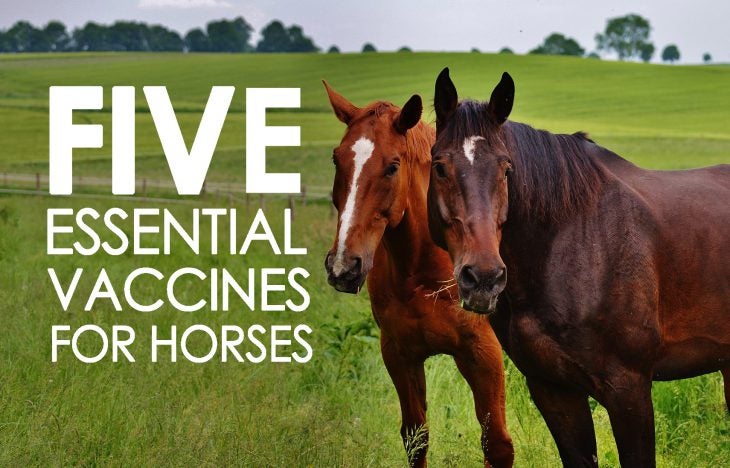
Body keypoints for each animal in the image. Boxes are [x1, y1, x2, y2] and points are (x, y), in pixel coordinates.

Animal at [322, 81, 514, 467]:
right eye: (337, 159)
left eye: (392, 166)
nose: (344, 266)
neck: (423, 273)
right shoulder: (400, 354)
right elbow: (416, 438)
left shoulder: (483, 354)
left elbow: (497, 444)